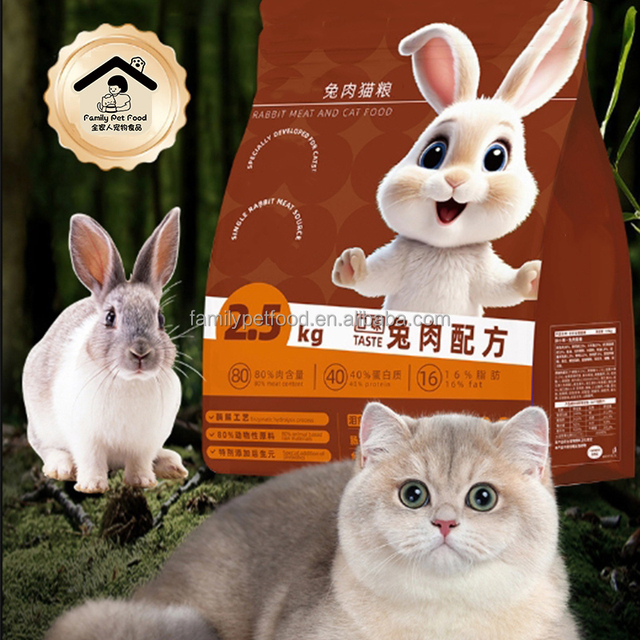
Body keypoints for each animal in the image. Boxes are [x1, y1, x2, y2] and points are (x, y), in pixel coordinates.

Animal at [23, 208, 188, 493]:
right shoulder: (86, 438)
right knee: (47, 449)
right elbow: (91, 459)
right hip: (39, 426)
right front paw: (92, 486)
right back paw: (61, 468)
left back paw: (172, 465)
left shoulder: (144, 442)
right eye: (110, 317)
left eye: (161, 319)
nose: (140, 352)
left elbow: (139, 461)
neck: (129, 381)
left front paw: (142, 481)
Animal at [333, 0, 588, 316]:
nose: (455, 180)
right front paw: (349, 265)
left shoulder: (482, 270)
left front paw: (532, 278)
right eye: (433, 154)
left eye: (495, 158)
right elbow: (373, 280)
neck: (443, 249)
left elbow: (501, 288)